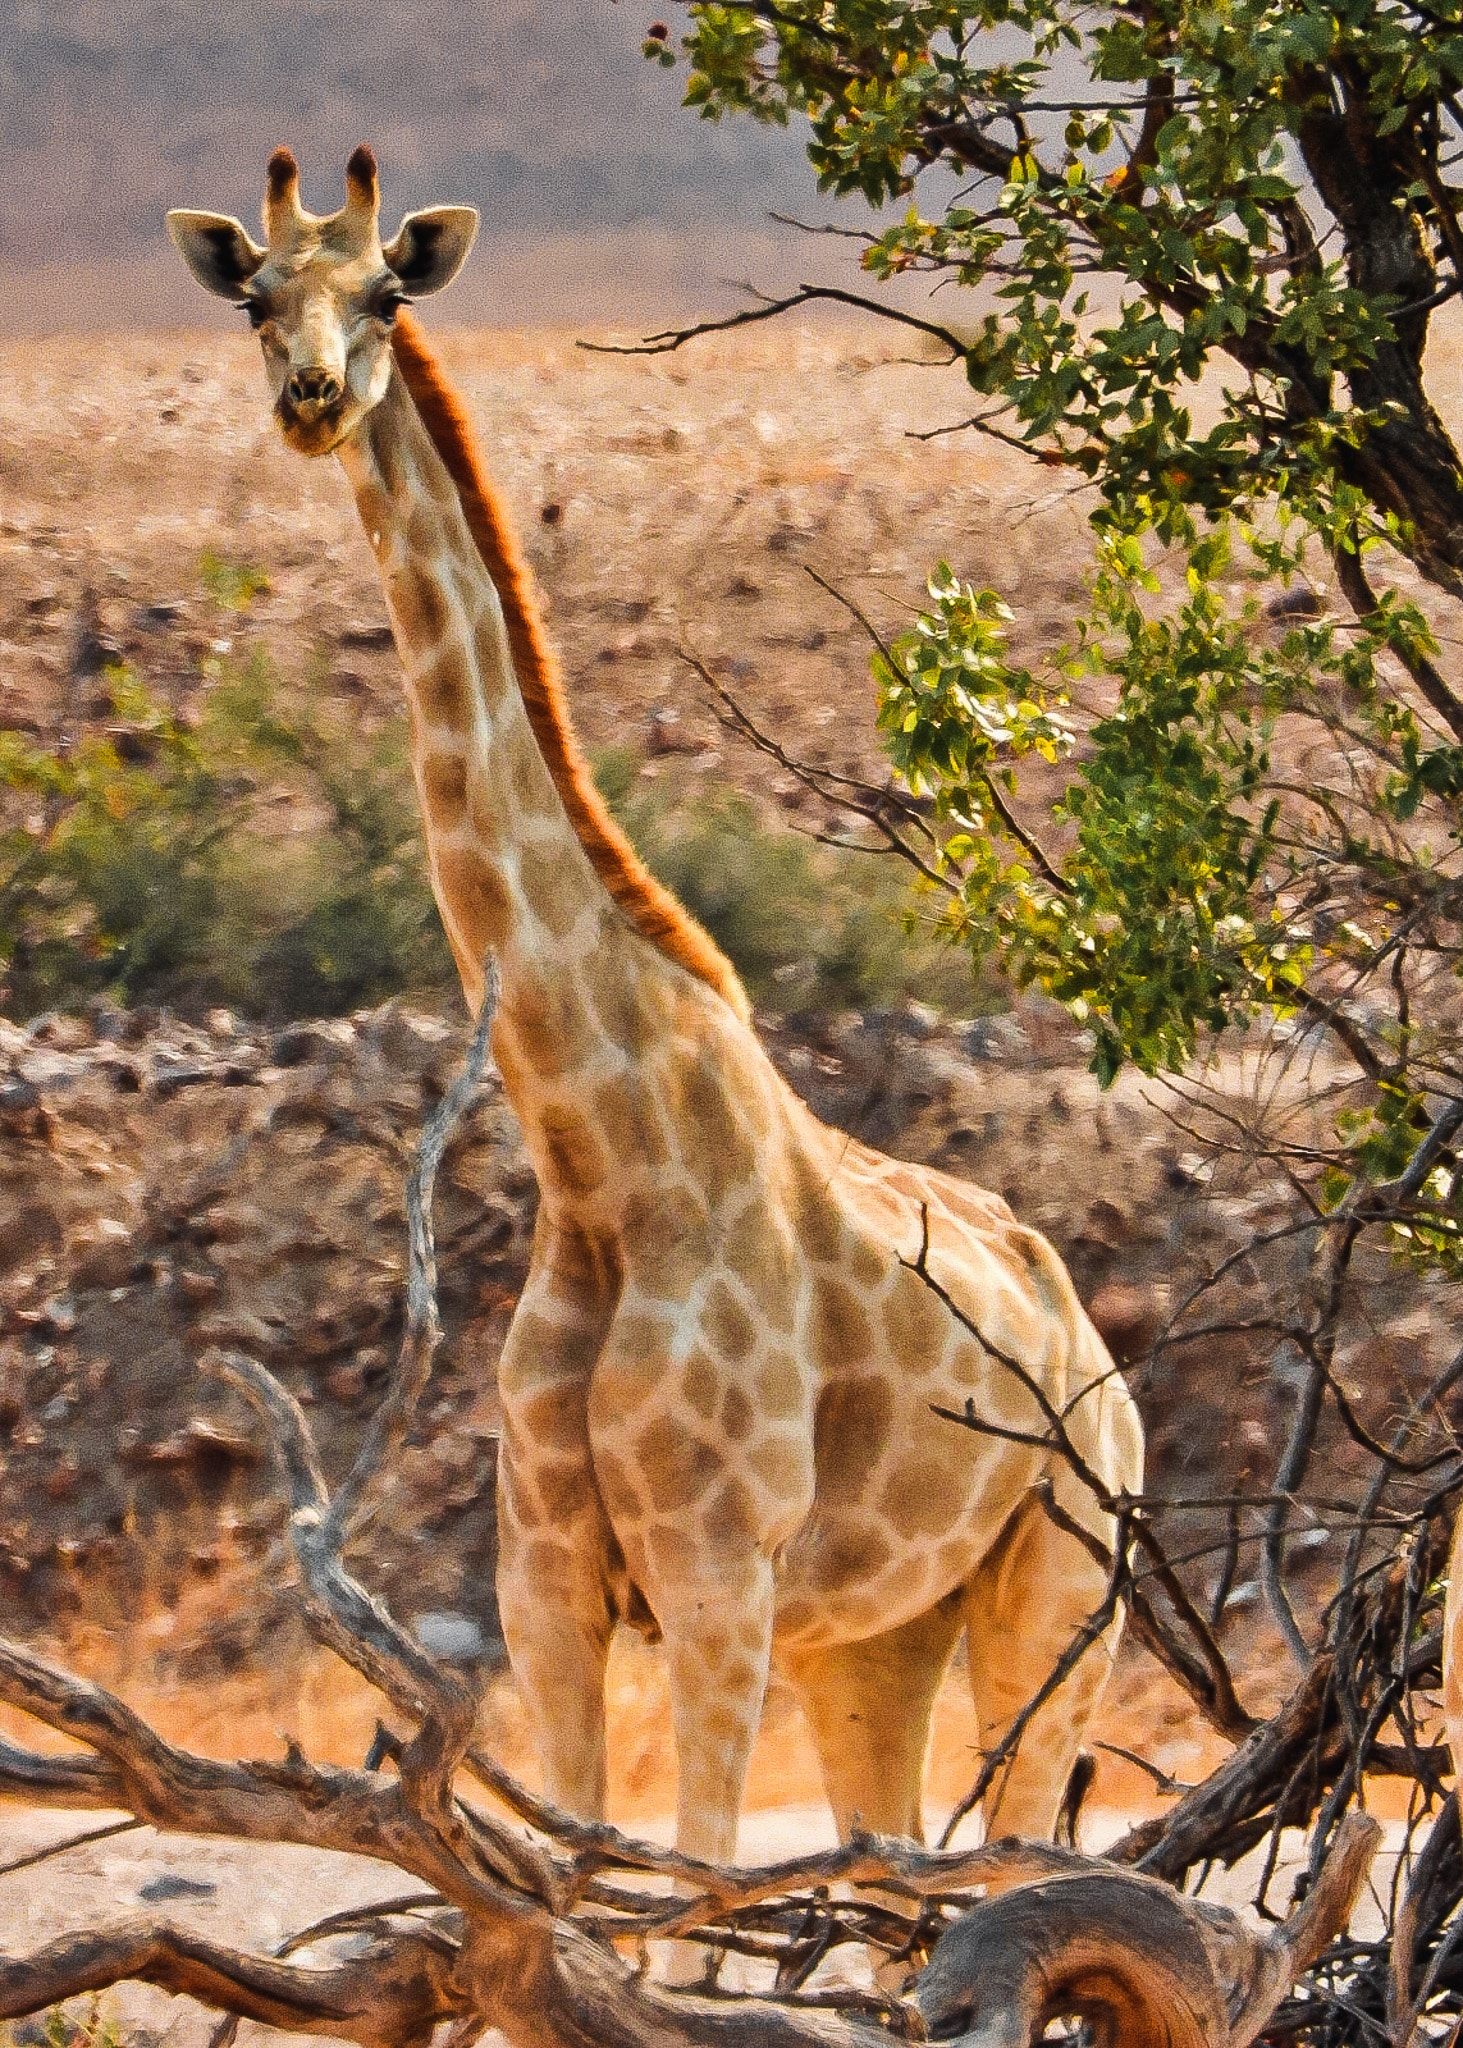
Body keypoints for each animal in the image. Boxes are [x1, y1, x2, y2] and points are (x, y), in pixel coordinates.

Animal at [168, 148, 1144, 1872]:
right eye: (256, 299)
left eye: (389, 294)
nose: (309, 400)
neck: (603, 1168)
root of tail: (1101, 1362)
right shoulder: (548, 1586)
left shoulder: (713, 1576)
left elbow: (688, 1879)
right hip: (873, 1639)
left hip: (1064, 1592)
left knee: (1019, 1842)